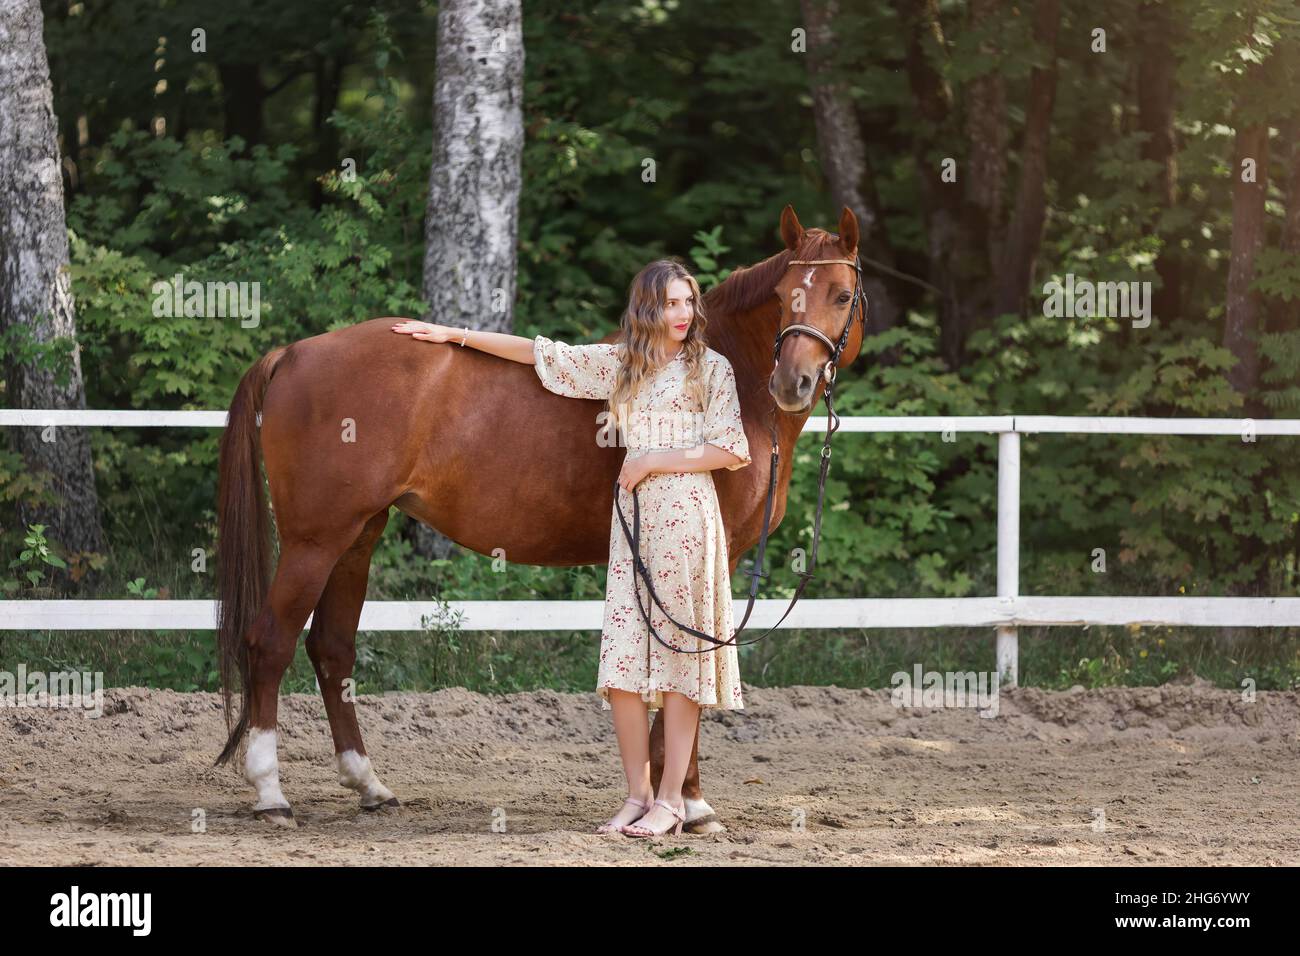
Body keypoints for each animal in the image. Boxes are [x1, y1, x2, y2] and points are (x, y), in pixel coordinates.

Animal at [214, 203, 866, 830]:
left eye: (841, 294)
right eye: (785, 294)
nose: (792, 382)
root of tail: (293, 353)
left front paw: (676, 801)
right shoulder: (717, 556)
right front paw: (691, 804)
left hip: (356, 537)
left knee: (331, 650)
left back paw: (369, 785)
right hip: (315, 540)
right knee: (270, 643)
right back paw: (271, 794)